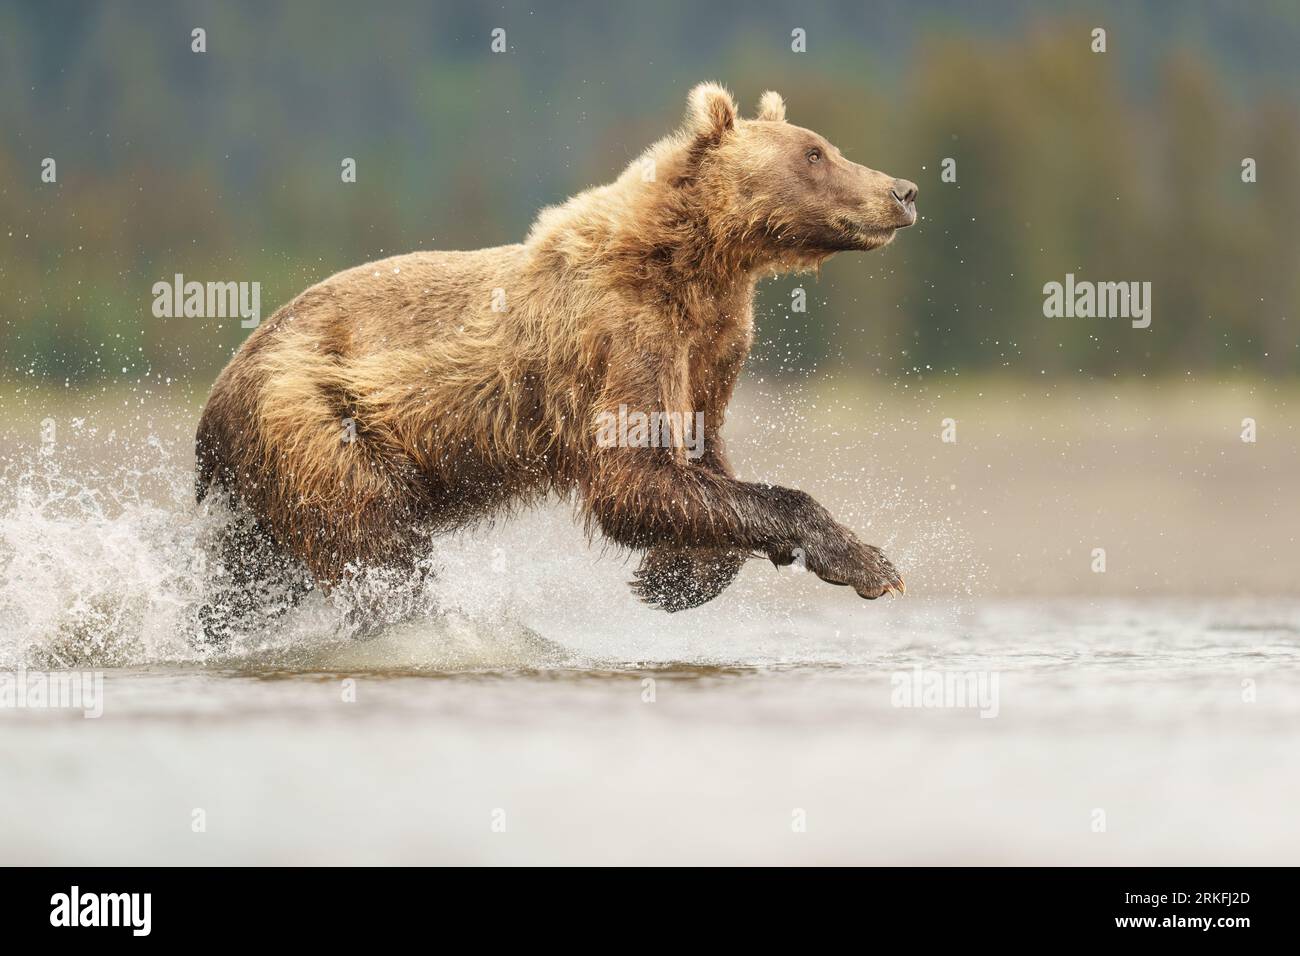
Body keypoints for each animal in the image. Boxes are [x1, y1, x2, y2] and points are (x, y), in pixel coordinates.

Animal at [194, 83, 916, 632]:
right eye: (815, 153)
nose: (903, 190)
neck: (695, 261)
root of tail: (218, 396)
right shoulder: (625, 333)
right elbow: (630, 474)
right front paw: (869, 564)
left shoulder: (712, 348)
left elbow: (700, 453)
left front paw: (675, 575)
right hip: (321, 426)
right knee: (375, 548)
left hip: (262, 491)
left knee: (249, 576)